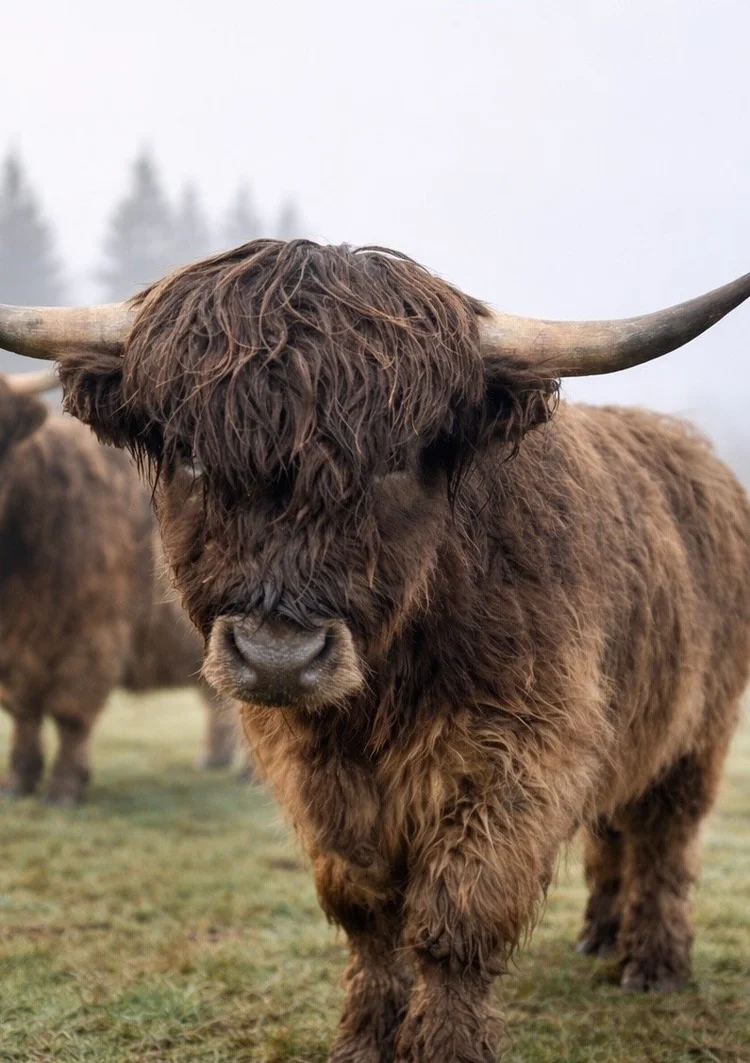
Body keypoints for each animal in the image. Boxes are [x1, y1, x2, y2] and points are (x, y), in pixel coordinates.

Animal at [0, 370, 241, 806]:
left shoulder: (88, 640)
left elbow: (71, 715)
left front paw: (64, 787)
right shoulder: (14, 652)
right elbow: (23, 713)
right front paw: (18, 782)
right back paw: (214, 759)